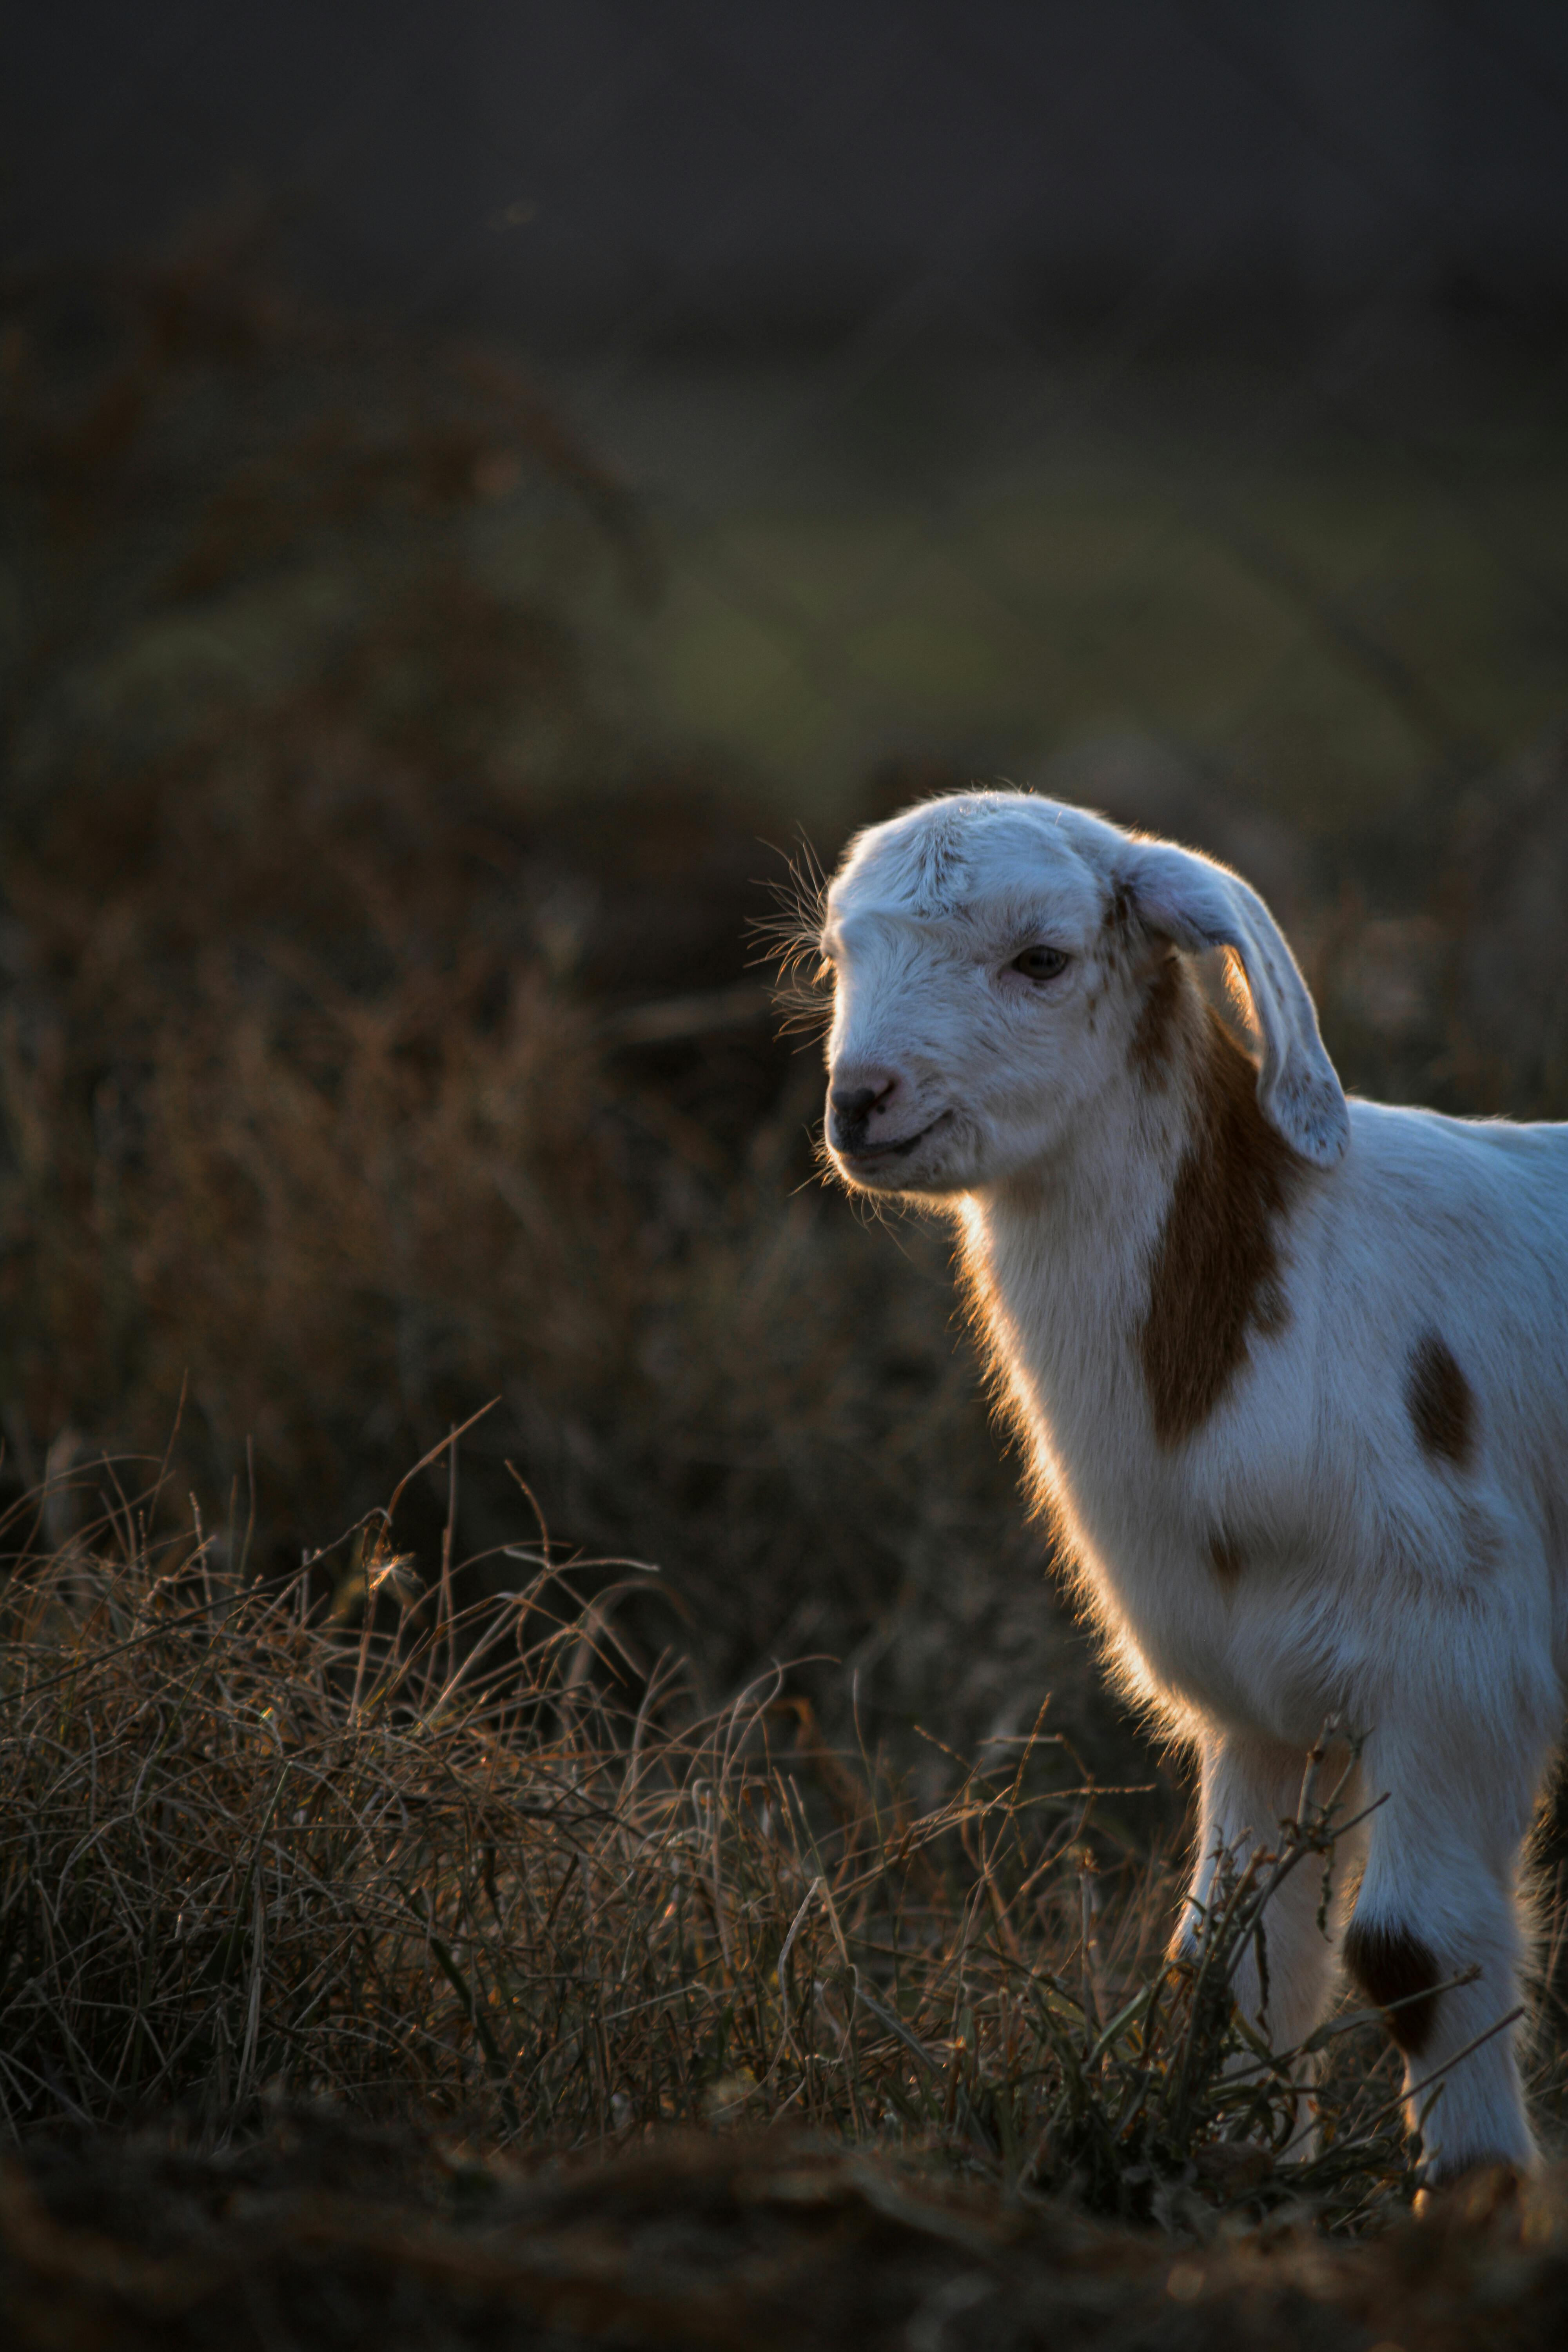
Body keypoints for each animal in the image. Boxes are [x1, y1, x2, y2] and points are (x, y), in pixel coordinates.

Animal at [812, 787, 1568, 2184]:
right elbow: (1236, 1966)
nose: (862, 1101)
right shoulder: (1260, 1697)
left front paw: (1476, 2201)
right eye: (838, 956)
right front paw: (1234, 2170)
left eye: (1042, 958)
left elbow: (1415, 1953)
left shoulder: (1458, 1657)